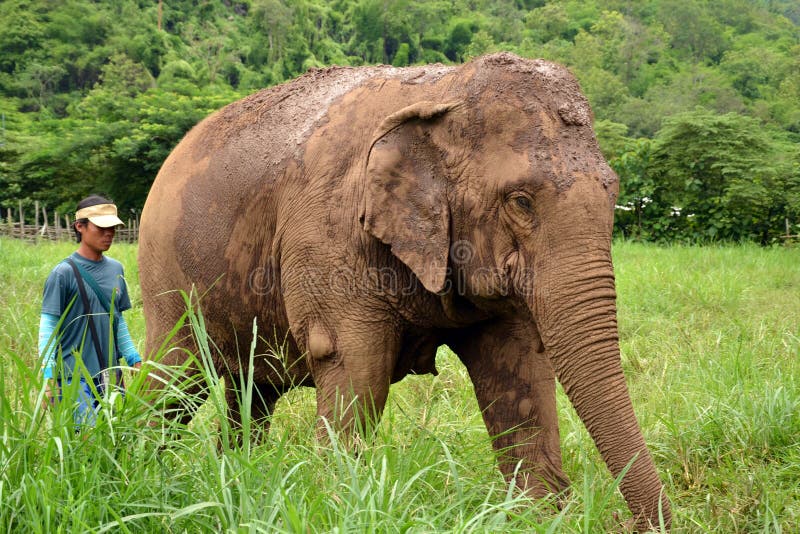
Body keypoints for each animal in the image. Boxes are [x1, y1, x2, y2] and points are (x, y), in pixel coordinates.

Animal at [139, 52, 671, 530]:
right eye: (520, 202)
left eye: (613, 190)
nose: (630, 521)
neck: (444, 89)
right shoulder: (330, 237)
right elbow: (358, 368)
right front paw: (337, 503)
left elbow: (518, 372)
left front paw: (540, 516)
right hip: (167, 278)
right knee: (171, 382)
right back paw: (142, 469)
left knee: (250, 395)